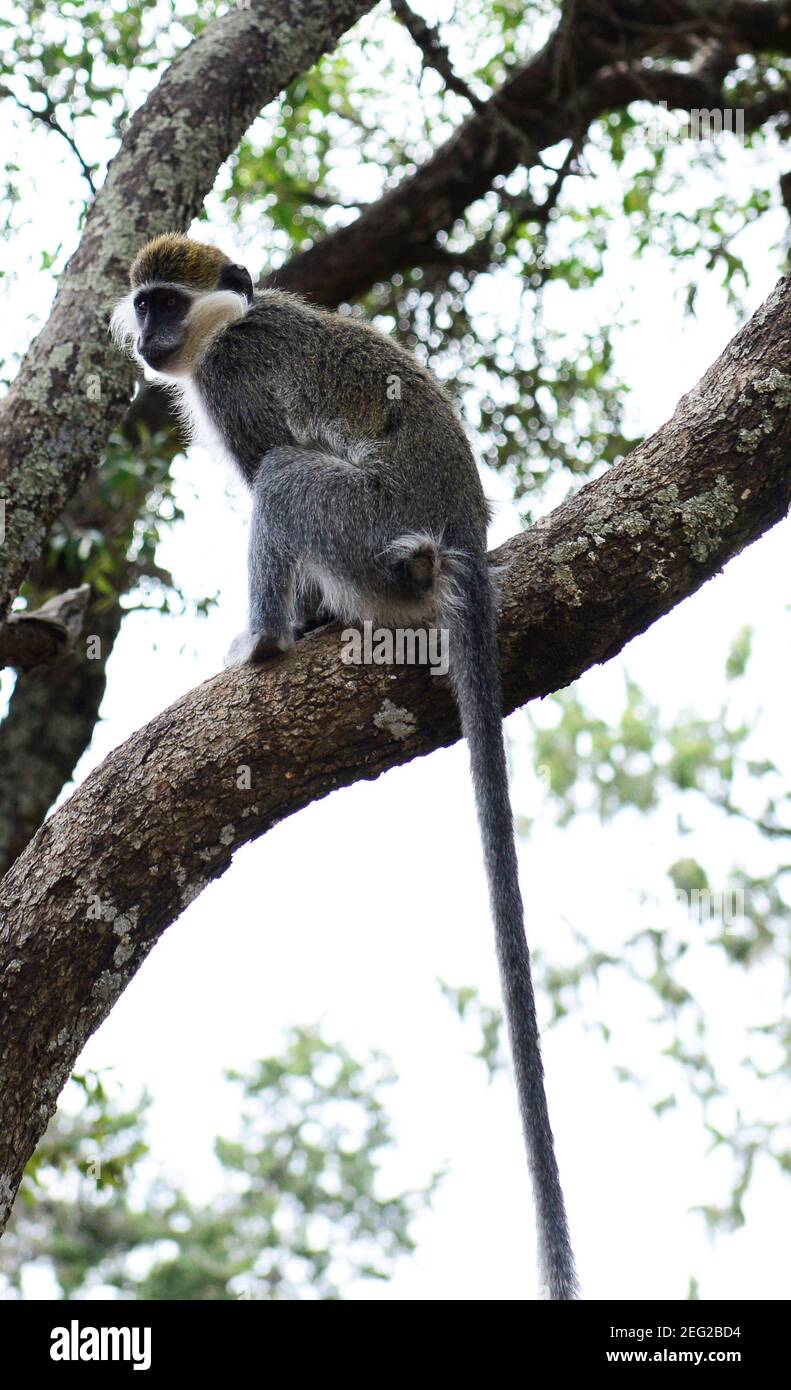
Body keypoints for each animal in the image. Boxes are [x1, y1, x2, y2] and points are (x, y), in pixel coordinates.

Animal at [111, 232, 579, 1300]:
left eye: (167, 302)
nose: (147, 338)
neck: (231, 324)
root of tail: (462, 541)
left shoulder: (237, 388)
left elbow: (264, 473)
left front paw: (278, 629)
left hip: (365, 523)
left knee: (288, 478)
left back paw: (273, 640)